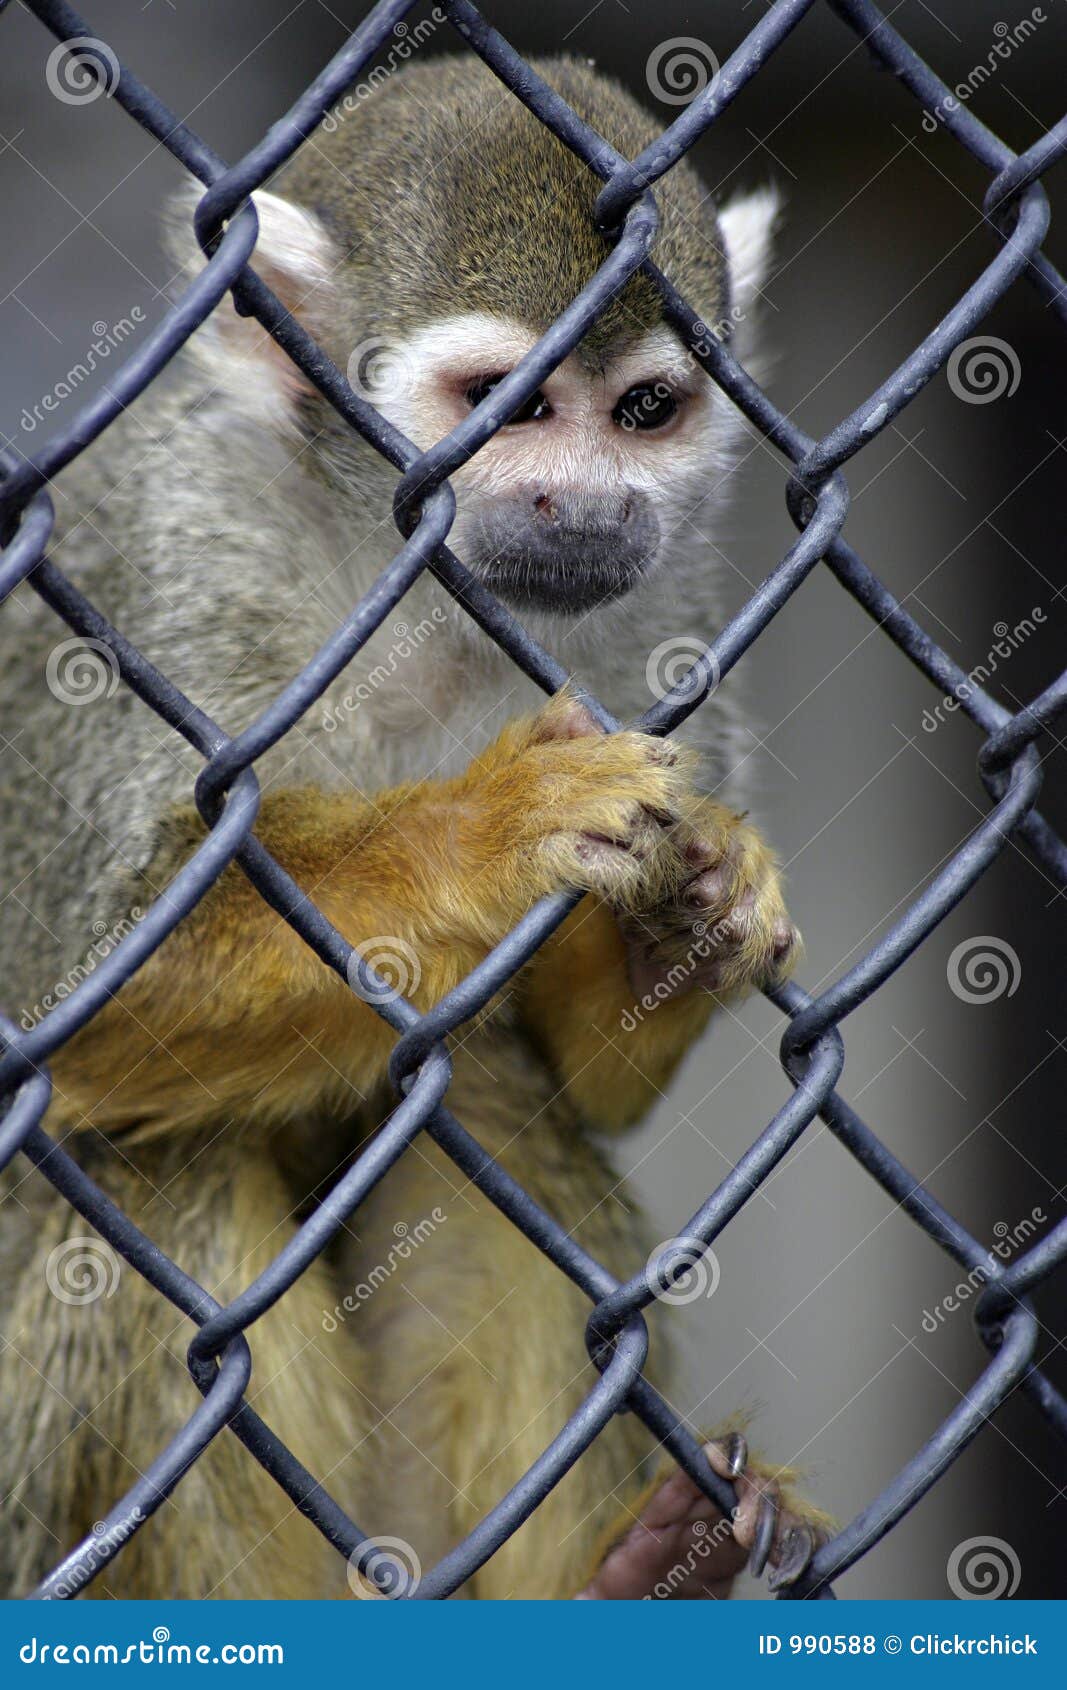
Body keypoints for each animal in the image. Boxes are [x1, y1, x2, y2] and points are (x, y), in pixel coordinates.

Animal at [0, 53, 828, 1600]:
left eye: (642, 412)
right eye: (500, 401)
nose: (588, 508)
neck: (415, 598)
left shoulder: (669, 614)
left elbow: (581, 1083)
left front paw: (691, 908)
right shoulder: (157, 569)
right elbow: (51, 989)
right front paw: (481, 835)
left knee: (492, 1102)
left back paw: (634, 1575)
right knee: (155, 1175)